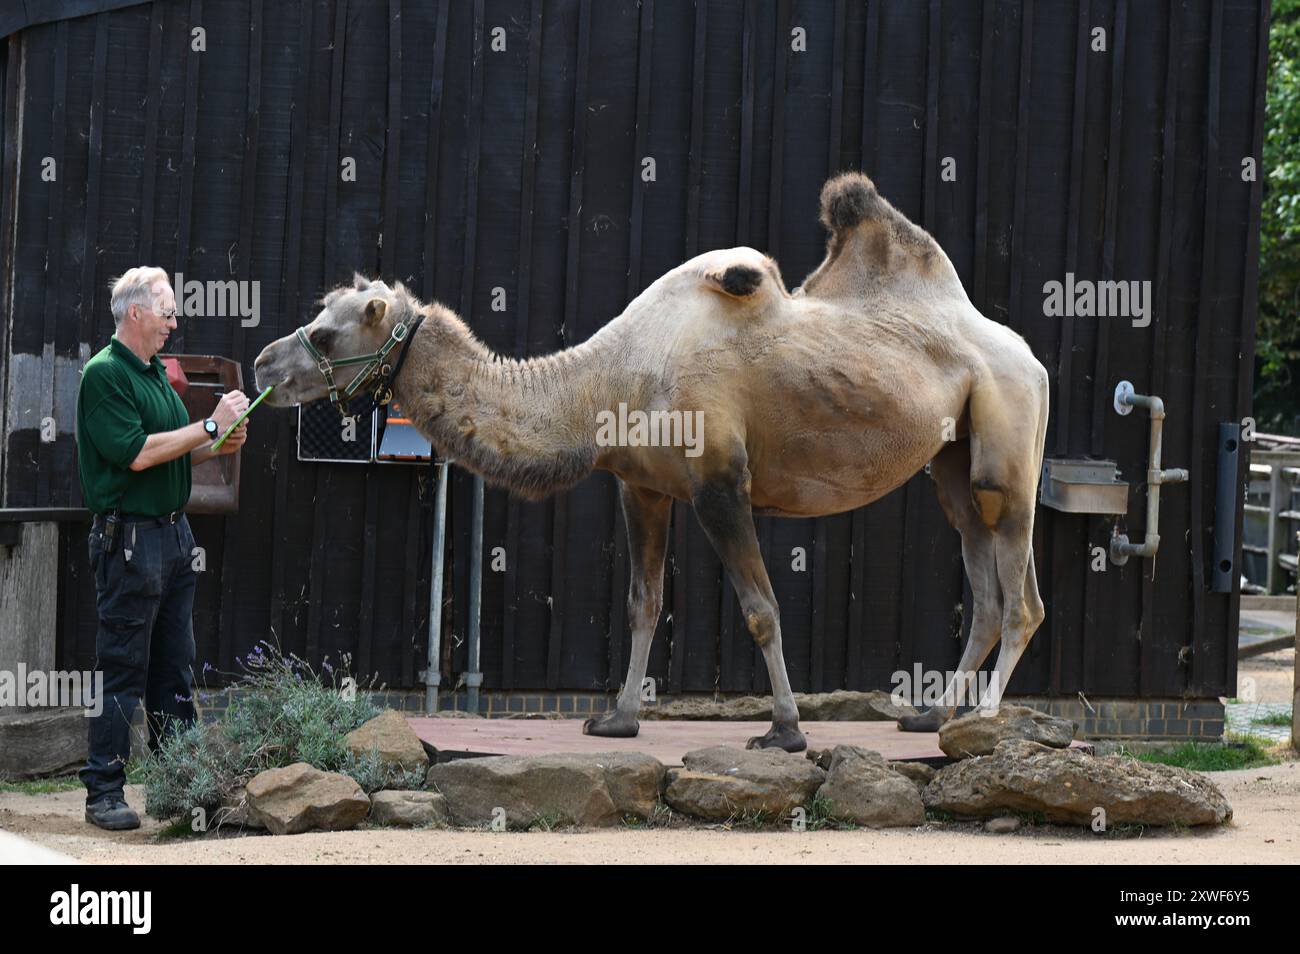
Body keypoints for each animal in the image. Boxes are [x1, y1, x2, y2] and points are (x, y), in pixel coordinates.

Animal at [252, 172, 1049, 753]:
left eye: (327, 335)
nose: (262, 362)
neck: (612, 378)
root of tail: (1027, 354)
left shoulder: (721, 484)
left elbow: (761, 609)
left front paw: (785, 730)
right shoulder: (642, 487)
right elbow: (642, 603)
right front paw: (617, 719)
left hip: (1008, 436)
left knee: (1020, 593)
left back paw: (981, 721)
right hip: (952, 459)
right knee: (983, 578)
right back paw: (931, 717)